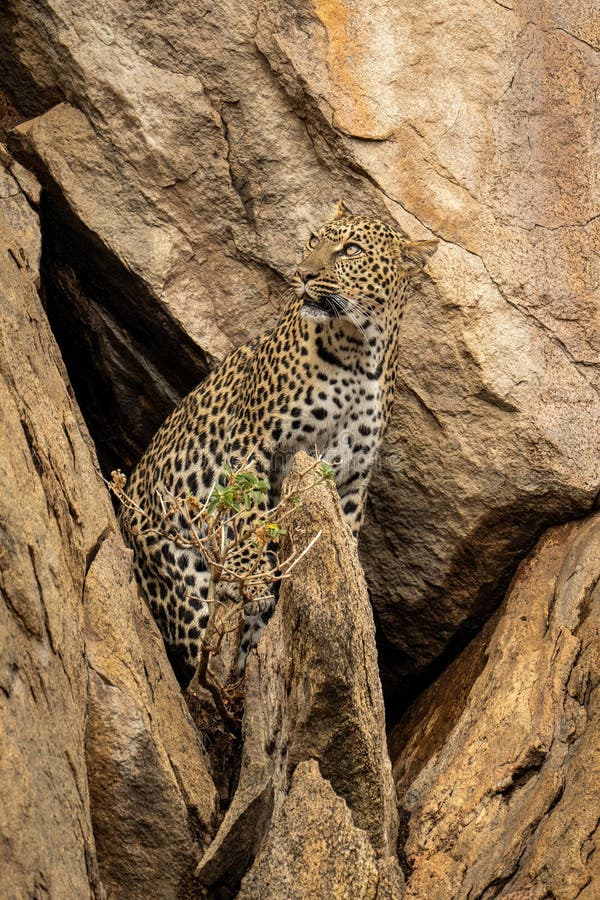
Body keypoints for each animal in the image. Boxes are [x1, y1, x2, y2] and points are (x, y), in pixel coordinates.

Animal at [121, 202, 437, 689]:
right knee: (198, 659)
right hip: (180, 578)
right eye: (313, 240)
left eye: (351, 250)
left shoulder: (351, 474)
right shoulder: (255, 438)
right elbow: (251, 510)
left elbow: (345, 532)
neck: (361, 349)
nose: (303, 274)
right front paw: (251, 575)